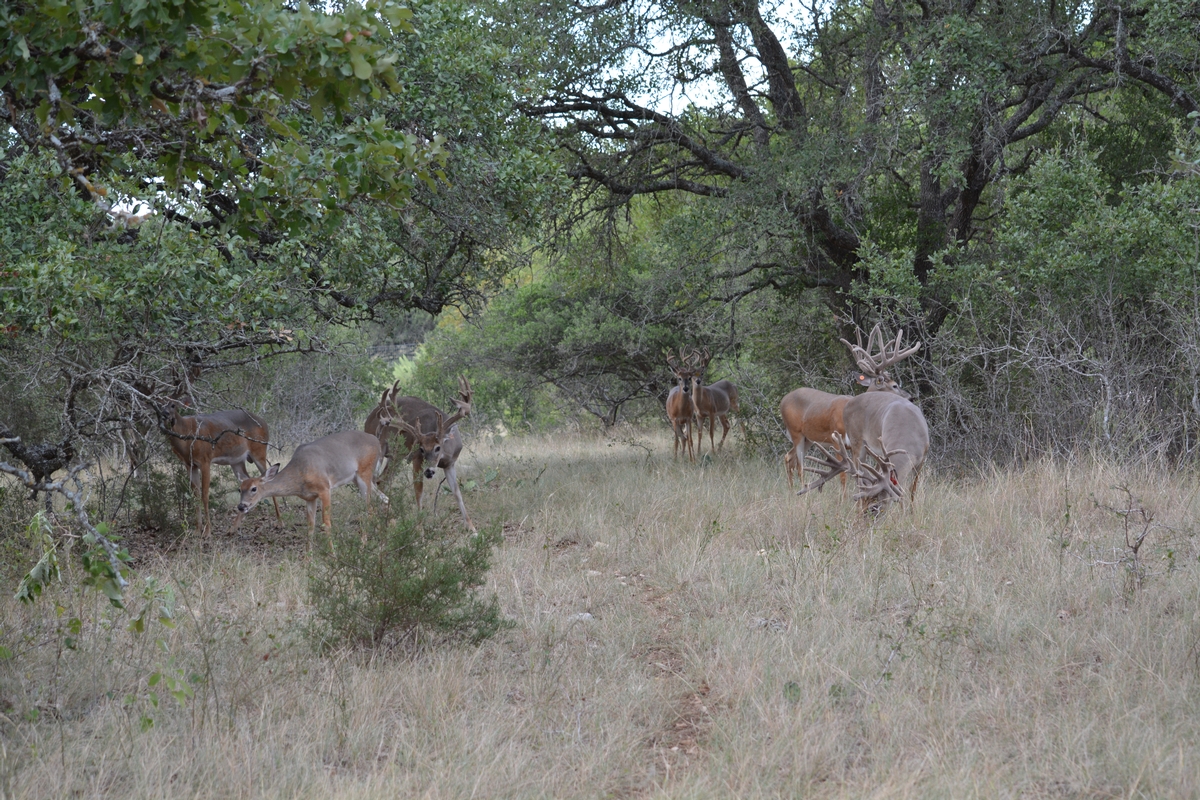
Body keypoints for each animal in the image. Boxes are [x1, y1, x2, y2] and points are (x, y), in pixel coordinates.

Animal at [156, 396, 281, 536]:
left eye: (173, 405)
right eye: (159, 405)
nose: (165, 414)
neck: (186, 438)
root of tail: (265, 422)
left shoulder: (205, 460)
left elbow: (205, 496)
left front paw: (207, 532)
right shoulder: (190, 465)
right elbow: (195, 495)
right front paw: (197, 530)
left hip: (259, 450)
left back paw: (279, 523)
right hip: (237, 460)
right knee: (246, 480)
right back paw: (233, 528)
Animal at [231, 429, 390, 543]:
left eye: (254, 488)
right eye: (240, 489)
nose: (241, 506)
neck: (300, 473)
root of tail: (376, 441)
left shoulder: (325, 489)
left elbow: (326, 524)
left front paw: (333, 557)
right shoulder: (309, 497)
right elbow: (310, 528)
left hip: (365, 473)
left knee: (370, 510)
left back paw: (364, 544)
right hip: (357, 479)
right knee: (384, 499)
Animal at [371, 376, 475, 531]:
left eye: (438, 447)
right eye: (420, 449)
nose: (428, 472)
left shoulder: (450, 464)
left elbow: (457, 493)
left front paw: (472, 528)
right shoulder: (416, 460)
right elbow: (419, 493)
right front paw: (420, 529)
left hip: (395, 457)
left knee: (381, 480)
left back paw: (386, 519)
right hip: (379, 449)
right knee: (372, 480)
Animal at [794, 324, 929, 510]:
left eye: (877, 506)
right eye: (895, 385)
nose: (911, 397)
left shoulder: (921, 460)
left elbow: (911, 492)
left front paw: (910, 513)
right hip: (857, 442)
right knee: (858, 478)